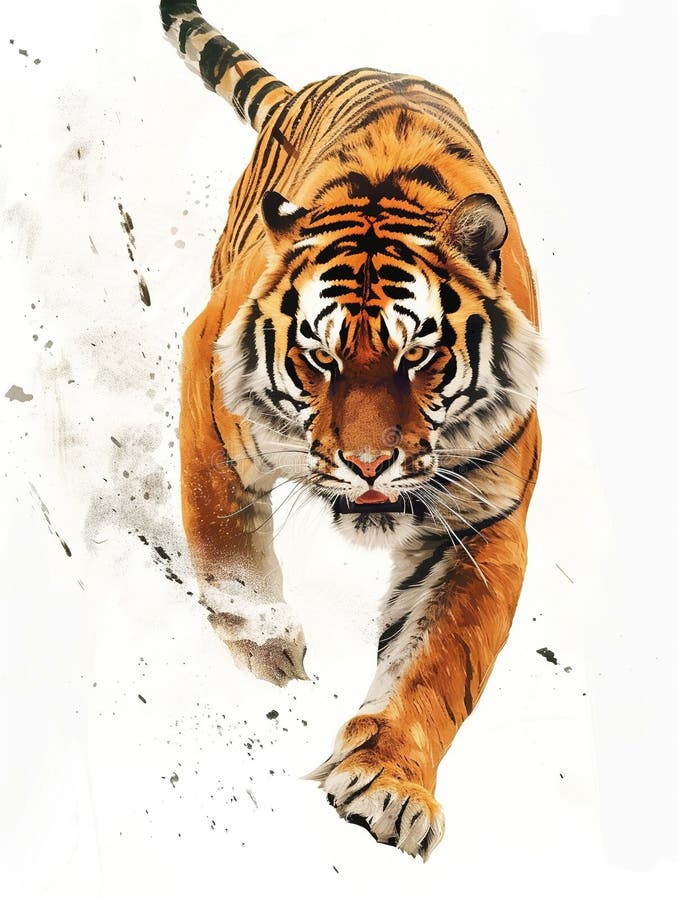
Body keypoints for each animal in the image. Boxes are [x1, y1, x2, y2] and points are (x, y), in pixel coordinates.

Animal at [160, 0, 543, 860]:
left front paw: (389, 783)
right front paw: (266, 648)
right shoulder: (211, 392)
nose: (369, 464)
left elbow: (439, 660)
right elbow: (225, 543)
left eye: (418, 353)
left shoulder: (484, 520)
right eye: (319, 356)